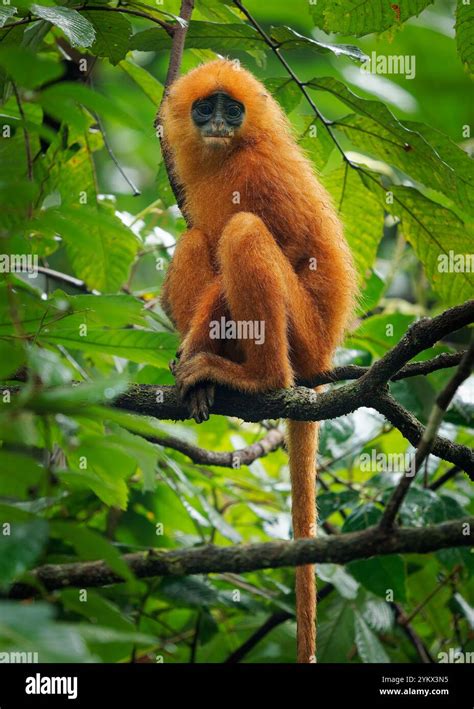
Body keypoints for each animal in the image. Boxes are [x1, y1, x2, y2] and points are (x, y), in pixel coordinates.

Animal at [158, 59, 357, 663]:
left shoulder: (261, 170)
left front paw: (193, 357)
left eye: (233, 109)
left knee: (243, 232)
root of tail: (324, 358)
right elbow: (201, 238)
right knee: (197, 238)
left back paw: (256, 379)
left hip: (304, 337)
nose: (220, 123)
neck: (230, 154)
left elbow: (291, 247)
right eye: (206, 108)